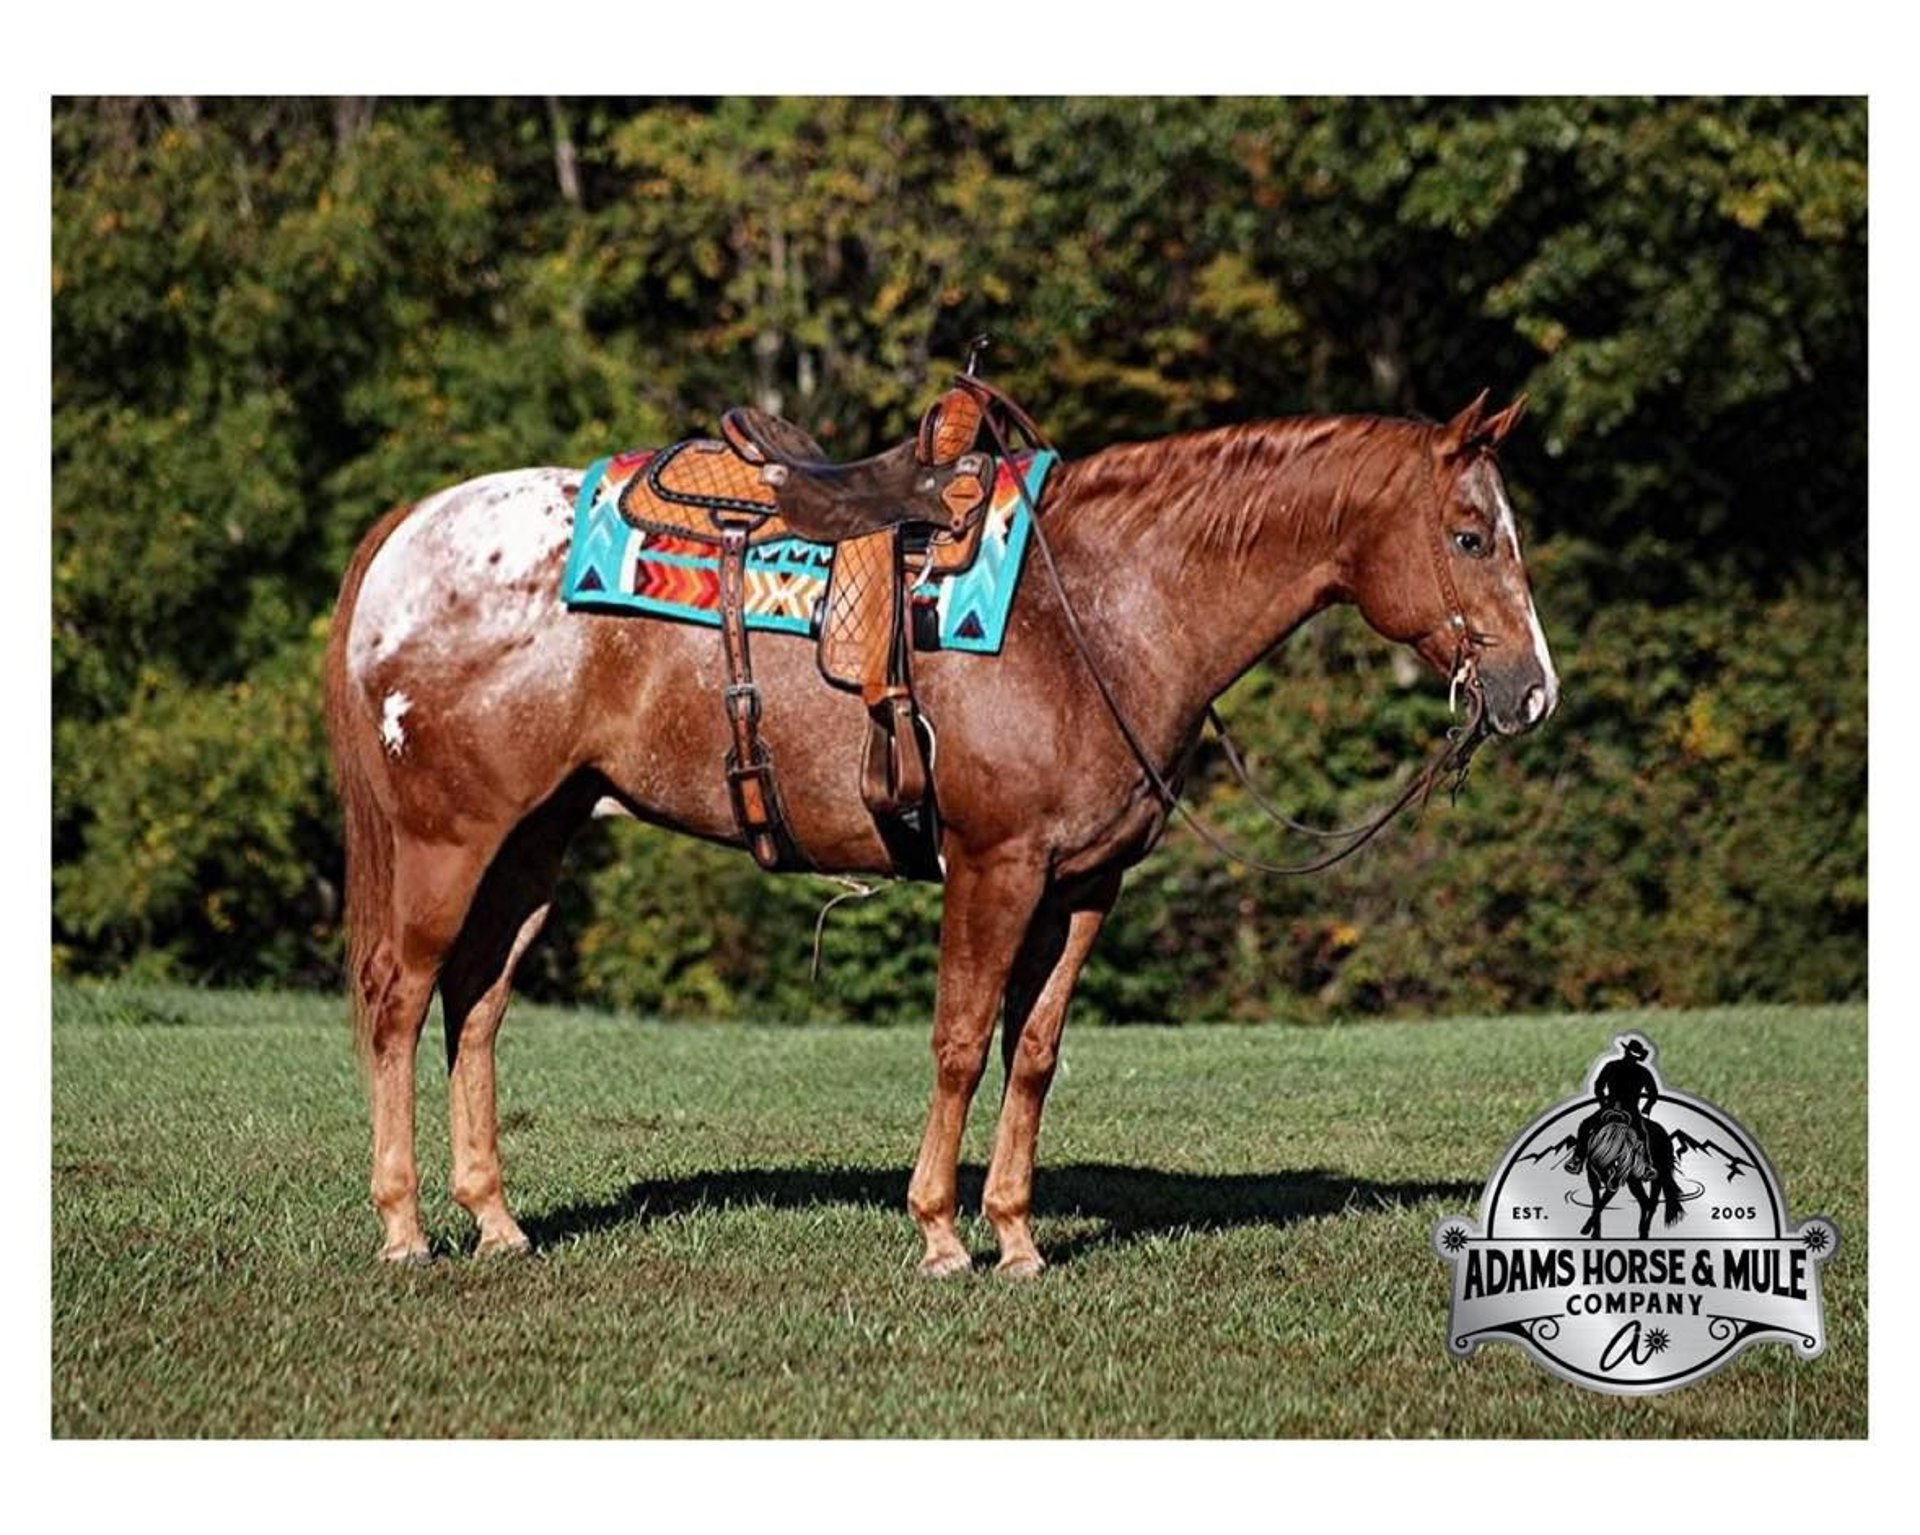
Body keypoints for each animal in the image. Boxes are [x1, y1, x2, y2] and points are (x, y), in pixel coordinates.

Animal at [323, 390, 1558, 1275]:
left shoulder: (1084, 884)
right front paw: (941, 1233)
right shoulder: (994, 864)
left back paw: (497, 1221)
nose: (1533, 693)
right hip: (448, 838)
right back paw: (405, 1228)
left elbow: (1035, 1053)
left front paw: (1015, 1235)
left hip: (537, 838)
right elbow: (962, 1041)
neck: (1097, 608)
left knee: (477, 1003)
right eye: (1469, 536)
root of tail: (408, 533)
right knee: (399, 997)